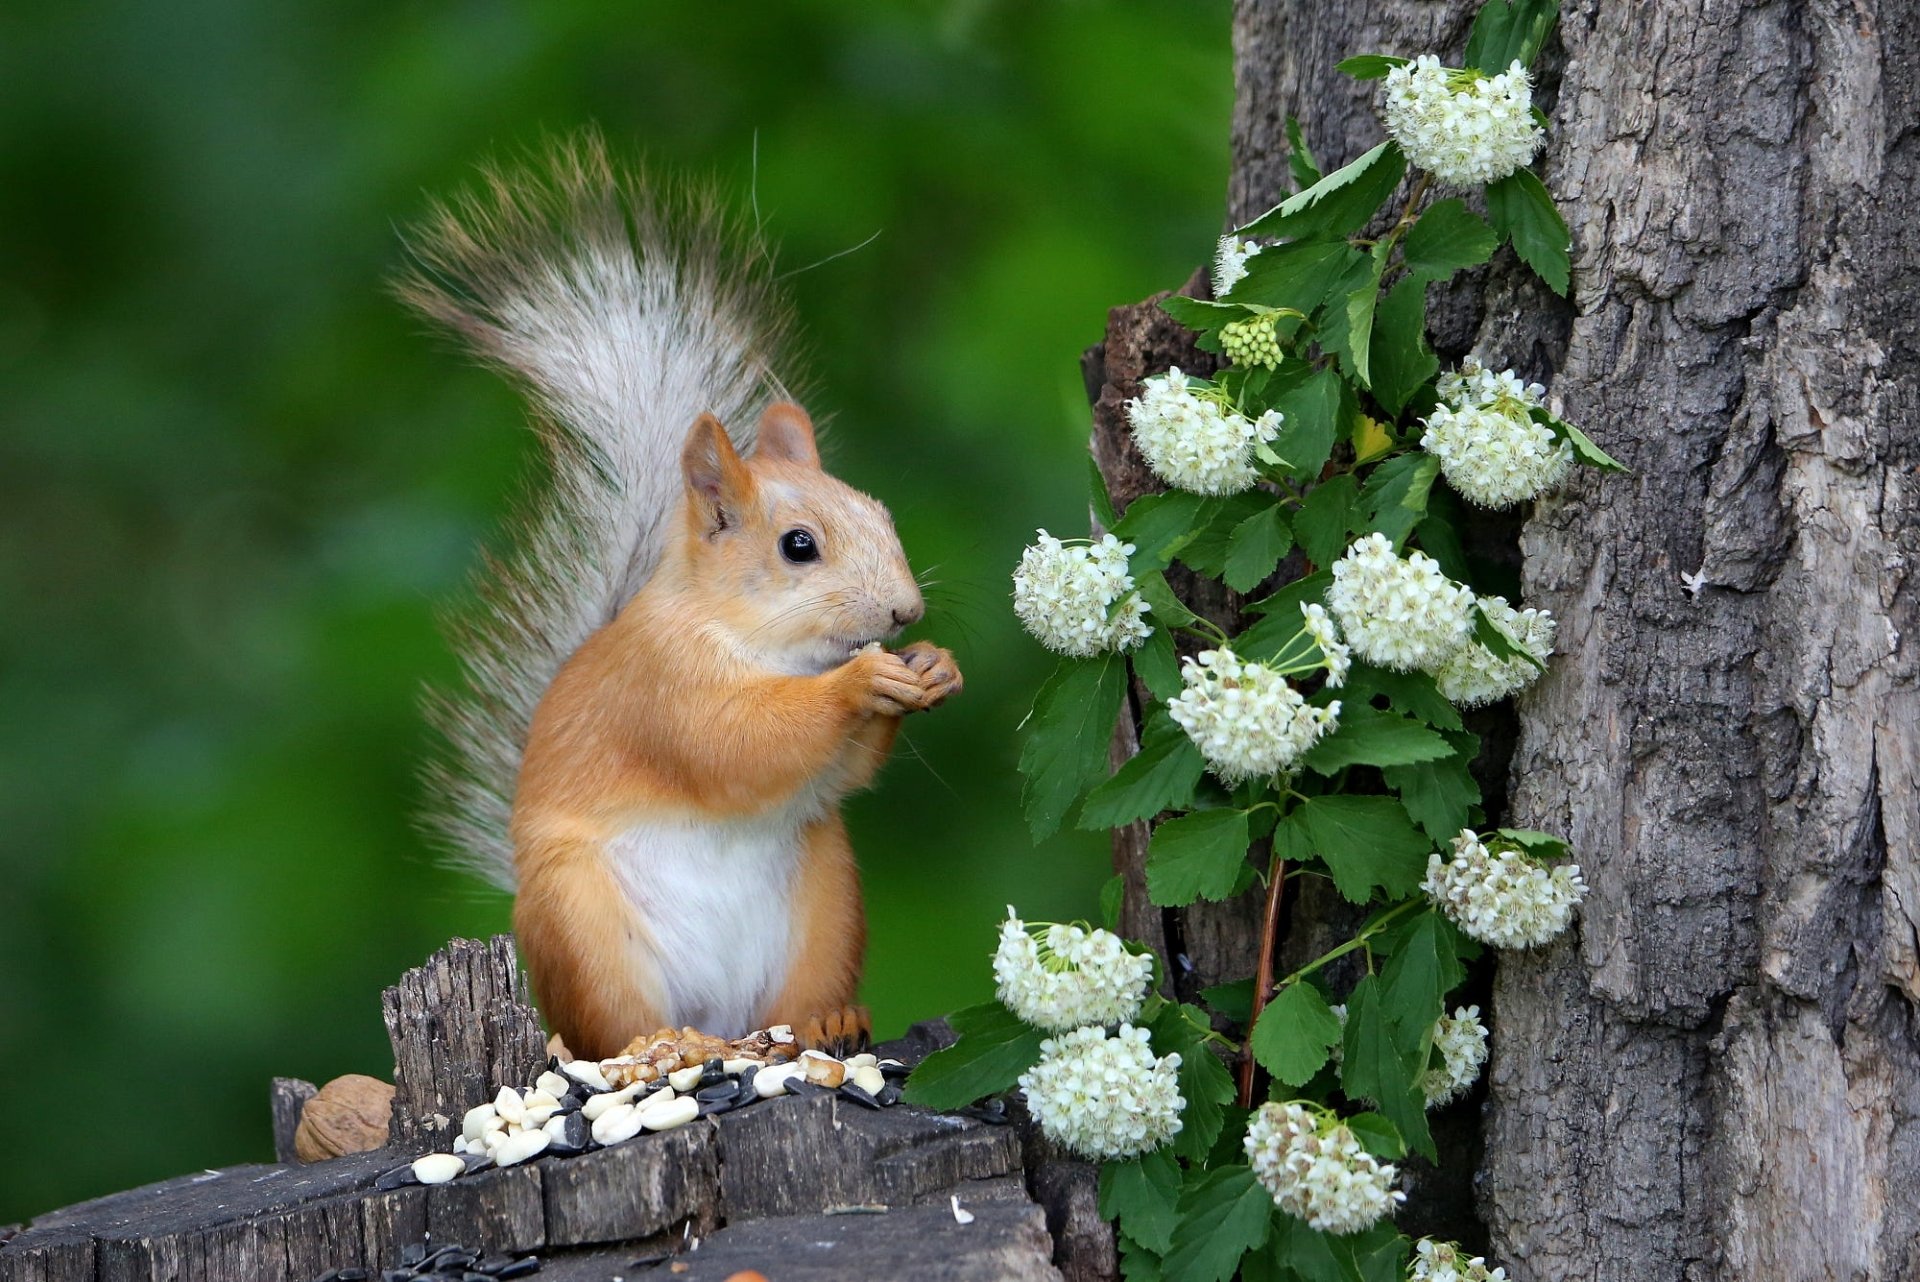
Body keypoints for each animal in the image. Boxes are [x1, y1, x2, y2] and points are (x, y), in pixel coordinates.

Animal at [395, 133, 962, 1060]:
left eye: (880, 513)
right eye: (798, 546)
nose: (905, 613)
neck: (764, 645)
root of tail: (722, 1020)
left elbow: (838, 770)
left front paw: (933, 667)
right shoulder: (661, 690)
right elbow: (738, 744)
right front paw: (861, 683)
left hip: (826, 895)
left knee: (795, 1003)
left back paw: (828, 1021)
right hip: (583, 926)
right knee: (612, 1026)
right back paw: (660, 1047)